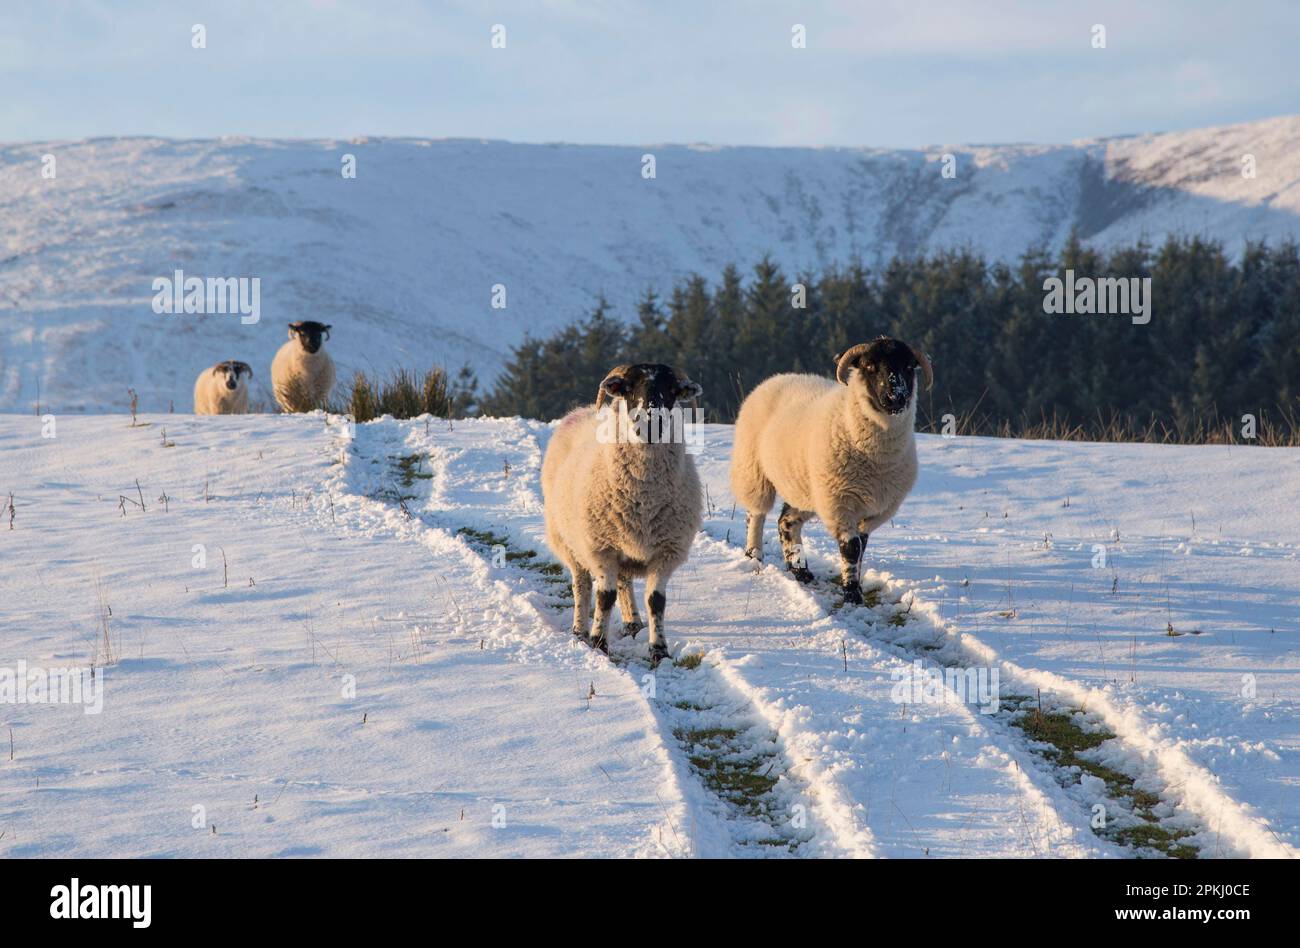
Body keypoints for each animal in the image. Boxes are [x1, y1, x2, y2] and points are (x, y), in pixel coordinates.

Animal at [540, 363, 704, 664]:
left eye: (672, 390)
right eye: (628, 389)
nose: (650, 424)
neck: (644, 501)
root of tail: (580, 411)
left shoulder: (666, 552)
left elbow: (656, 601)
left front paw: (658, 650)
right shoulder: (601, 548)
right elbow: (604, 597)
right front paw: (599, 642)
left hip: (622, 542)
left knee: (624, 582)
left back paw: (633, 622)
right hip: (570, 541)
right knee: (581, 584)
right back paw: (579, 629)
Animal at [730, 337, 933, 604]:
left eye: (909, 367)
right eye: (869, 366)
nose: (896, 397)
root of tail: (775, 378)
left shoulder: (874, 510)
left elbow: (861, 548)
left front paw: (854, 586)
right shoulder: (841, 504)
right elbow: (851, 548)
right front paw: (852, 594)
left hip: (807, 489)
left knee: (787, 521)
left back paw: (800, 570)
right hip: (754, 470)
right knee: (756, 514)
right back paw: (754, 555)